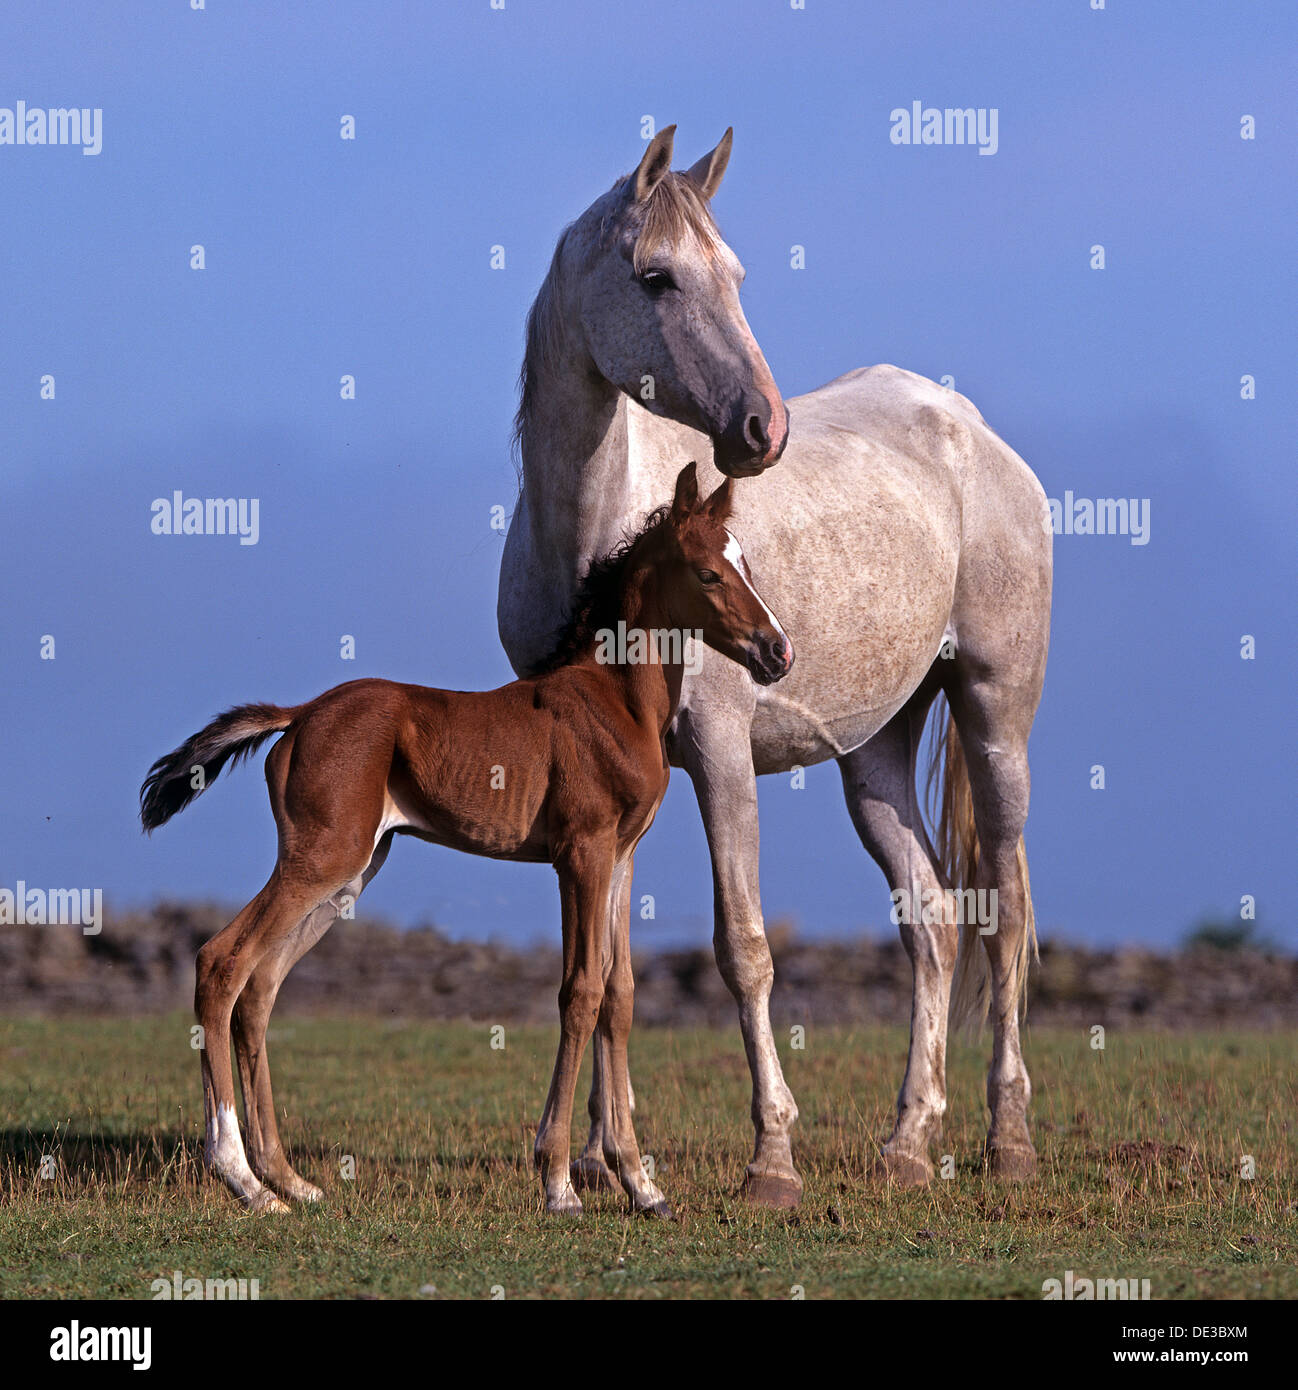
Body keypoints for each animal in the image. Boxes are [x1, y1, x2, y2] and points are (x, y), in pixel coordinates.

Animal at [141, 463, 793, 1216]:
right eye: (708, 573)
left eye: (747, 562)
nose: (778, 651)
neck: (615, 697)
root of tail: (300, 715)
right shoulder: (581, 854)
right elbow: (580, 993)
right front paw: (558, 1180)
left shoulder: (622, 857)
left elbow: (619, 995)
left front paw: (642, 1184)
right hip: (319, 859)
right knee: (222, 963)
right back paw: (241, 1176)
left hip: (348, 875)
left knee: (261, 988)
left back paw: (289, 1178)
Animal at [498, 126, 1052, 1207]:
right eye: (656, 276)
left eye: (738, 274)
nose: (765, 429)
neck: (602, 552)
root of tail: (974, 432)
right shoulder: (604, 784)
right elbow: (609, 969)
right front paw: (604, 1159)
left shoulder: (716, 758)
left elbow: (743, 949)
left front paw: (772, 1161)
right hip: (874, 753)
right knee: (930, 921)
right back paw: (906, 1143)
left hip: (993, 714)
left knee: (1002, 911)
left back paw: (1007, 1140)